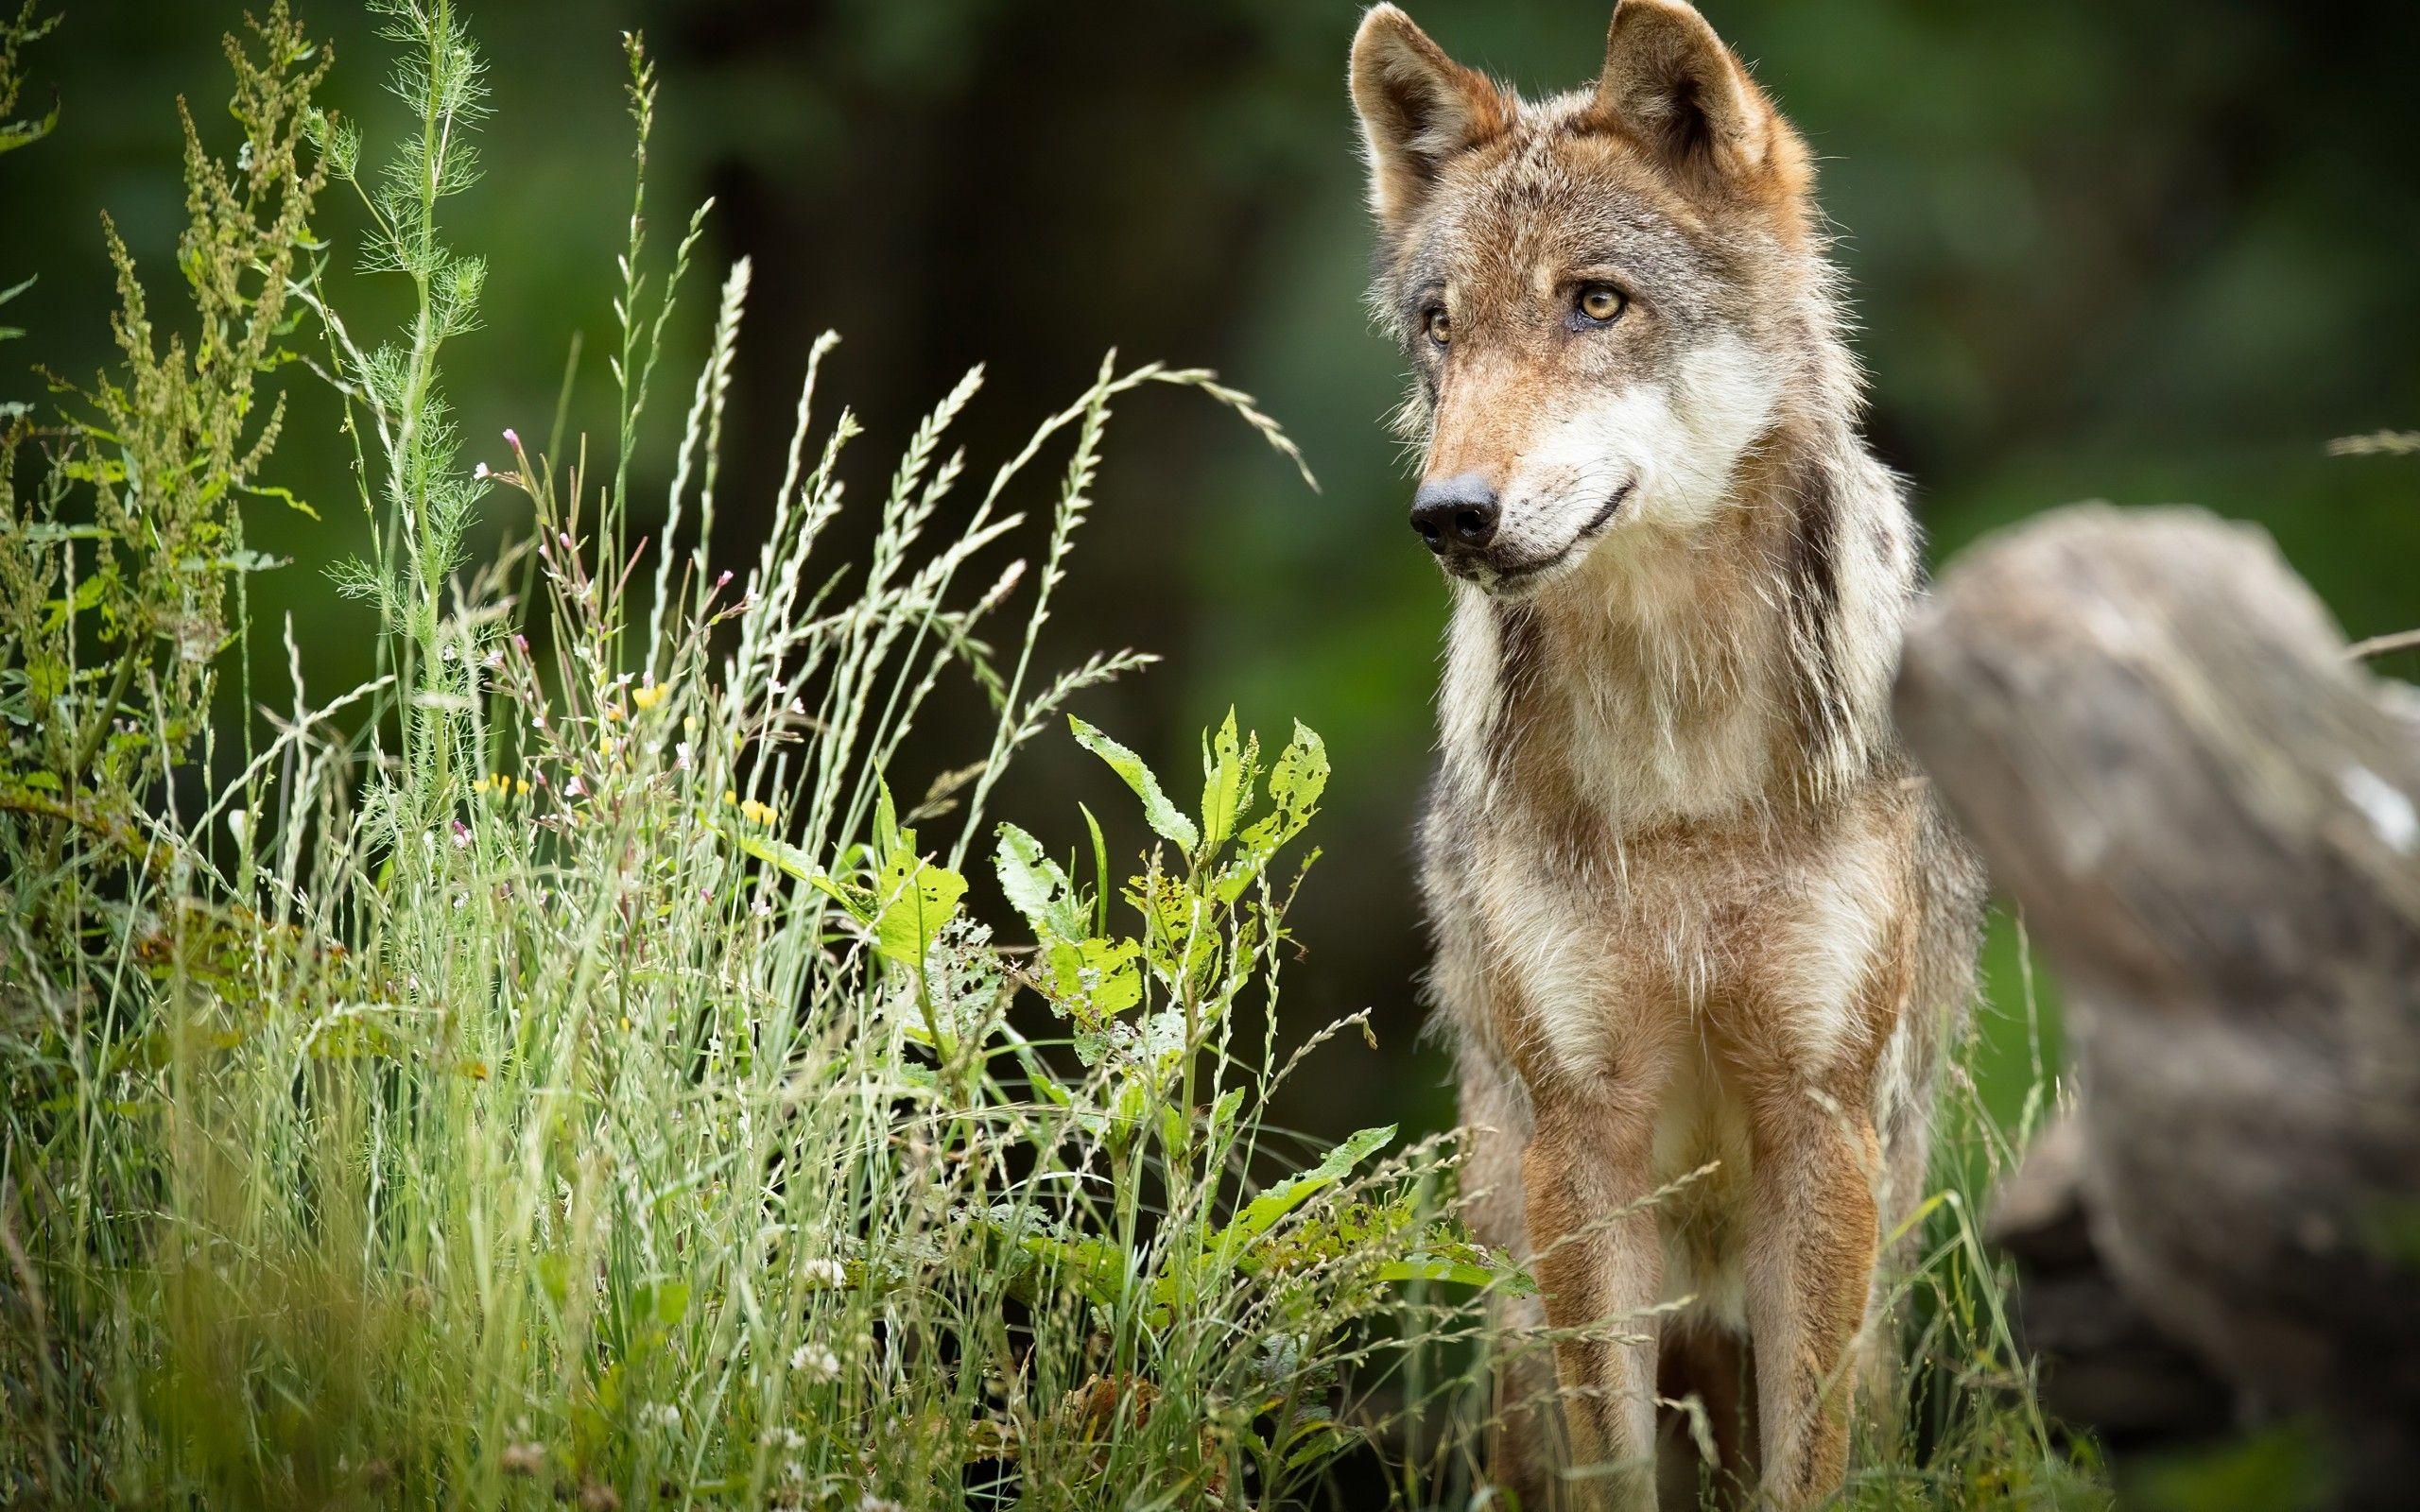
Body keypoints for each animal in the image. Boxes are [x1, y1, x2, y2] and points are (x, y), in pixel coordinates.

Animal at [1347, 2, 1984, 1506]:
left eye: (1596, 303)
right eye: (1440, 326)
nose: (1451, 513)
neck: (1678, 754)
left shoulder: (1818, 1125)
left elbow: (1805, 1470)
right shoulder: (1584, 1139)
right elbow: (1614, 1467)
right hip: (1518, 1325)